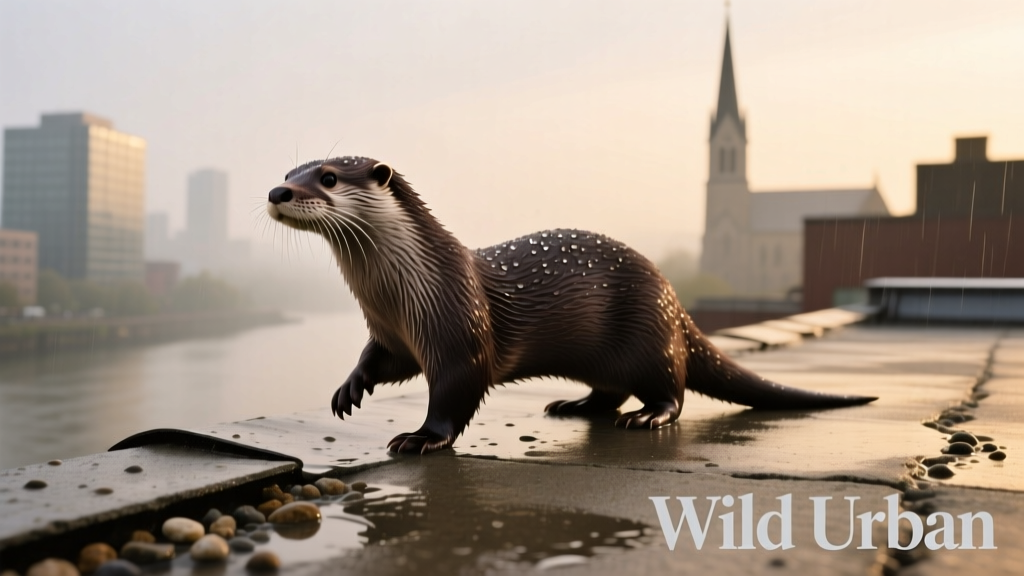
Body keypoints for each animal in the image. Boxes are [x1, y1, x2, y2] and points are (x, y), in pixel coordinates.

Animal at [266, 156, 876, 454]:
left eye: (327, 178)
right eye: (289, 172)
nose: (278, 192)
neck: (403, 293)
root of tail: (675, 299)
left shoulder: (459, 328)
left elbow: (455, 393)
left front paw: (421, 437)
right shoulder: (391, 333)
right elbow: (382, 363)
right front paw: (350, 388)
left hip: (650, 335)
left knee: (672, 391)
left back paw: (646, 417)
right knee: (609, 391)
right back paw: (573, 405)